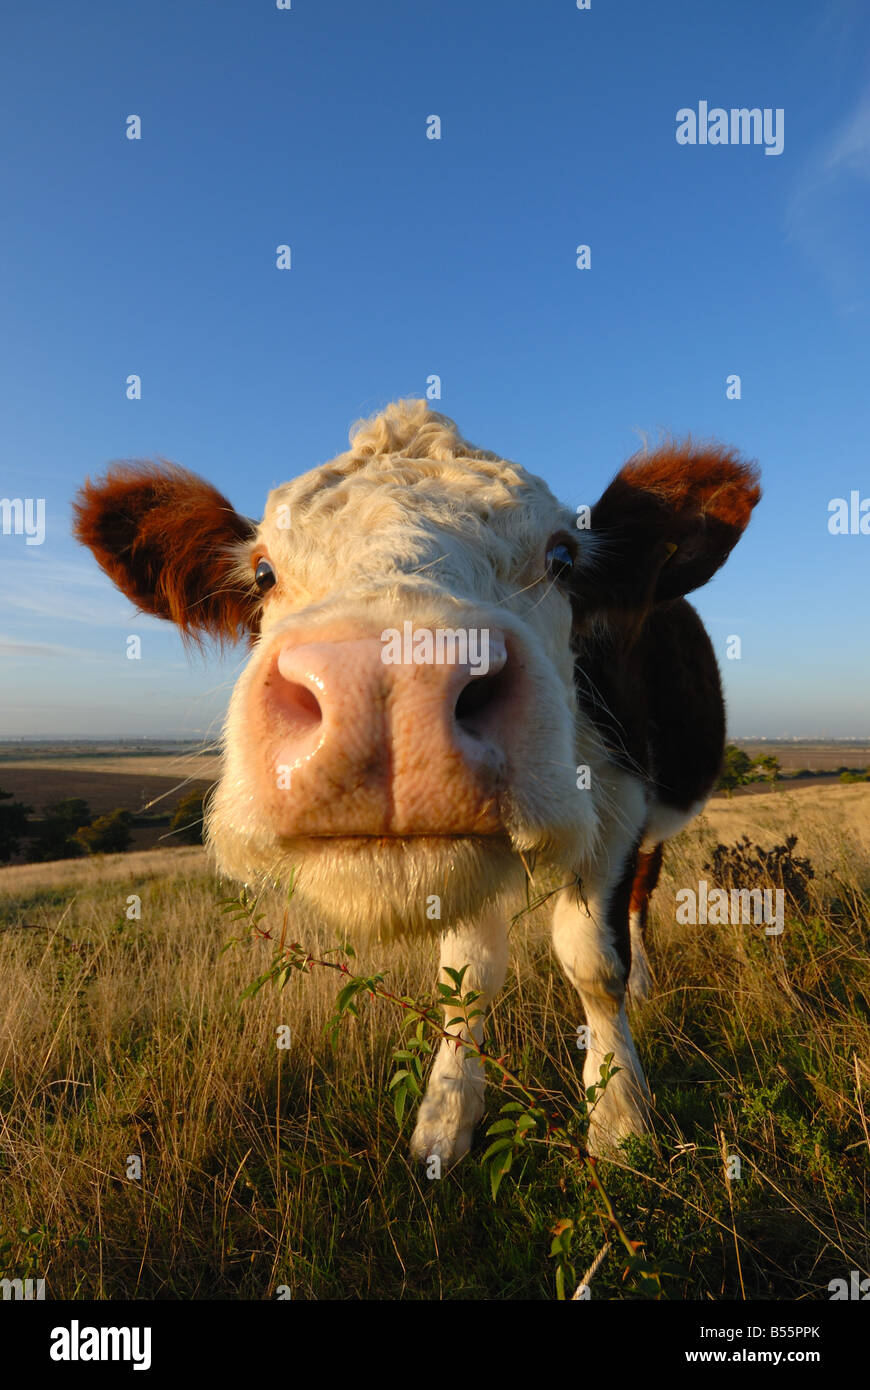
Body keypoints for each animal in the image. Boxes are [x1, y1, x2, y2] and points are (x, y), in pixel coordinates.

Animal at [73, 399, 760, 1163]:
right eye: (263, 572)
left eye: (562, 558)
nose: (386, 685)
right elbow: (466, 978)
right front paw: (446, 1118)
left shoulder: (618, 804)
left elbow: (592, 963)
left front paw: (619, 1121)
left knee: (640, 894)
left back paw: (642, 980)